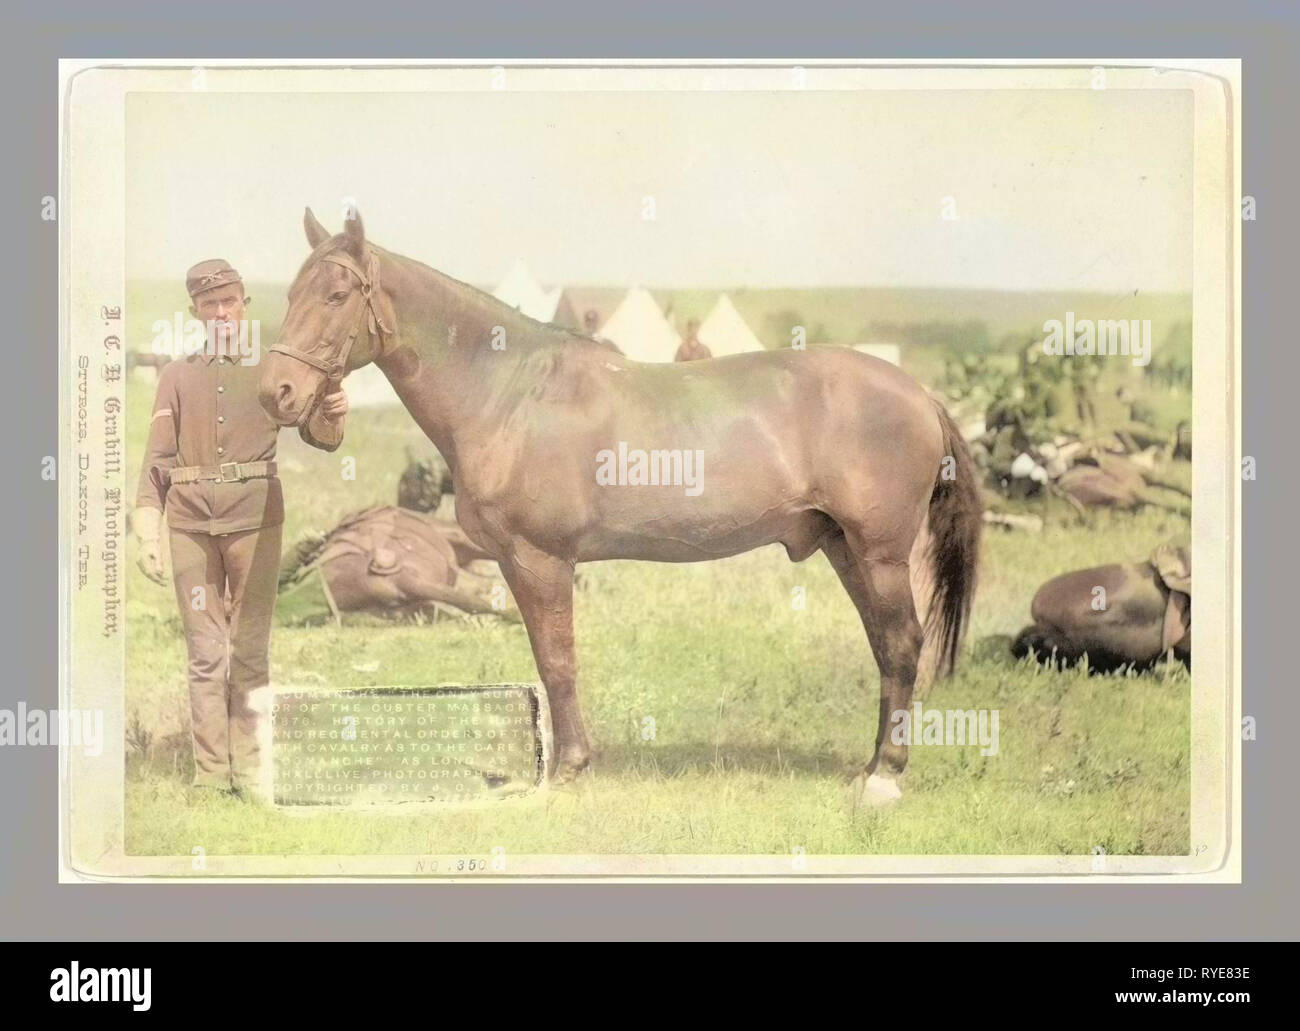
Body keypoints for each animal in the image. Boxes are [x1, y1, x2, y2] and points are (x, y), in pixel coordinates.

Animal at [260, 208, 983, 806]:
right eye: (289, 293)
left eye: (335, 295)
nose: (277, 391)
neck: (511, 392)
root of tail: (919, 393)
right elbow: (545, 654)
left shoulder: (542, 559)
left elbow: (557, 658)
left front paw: (570, 767)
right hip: (843, 547)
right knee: (884, 645)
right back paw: (870, 766)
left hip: (879, 552)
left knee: (901, 642)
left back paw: (886, 775)